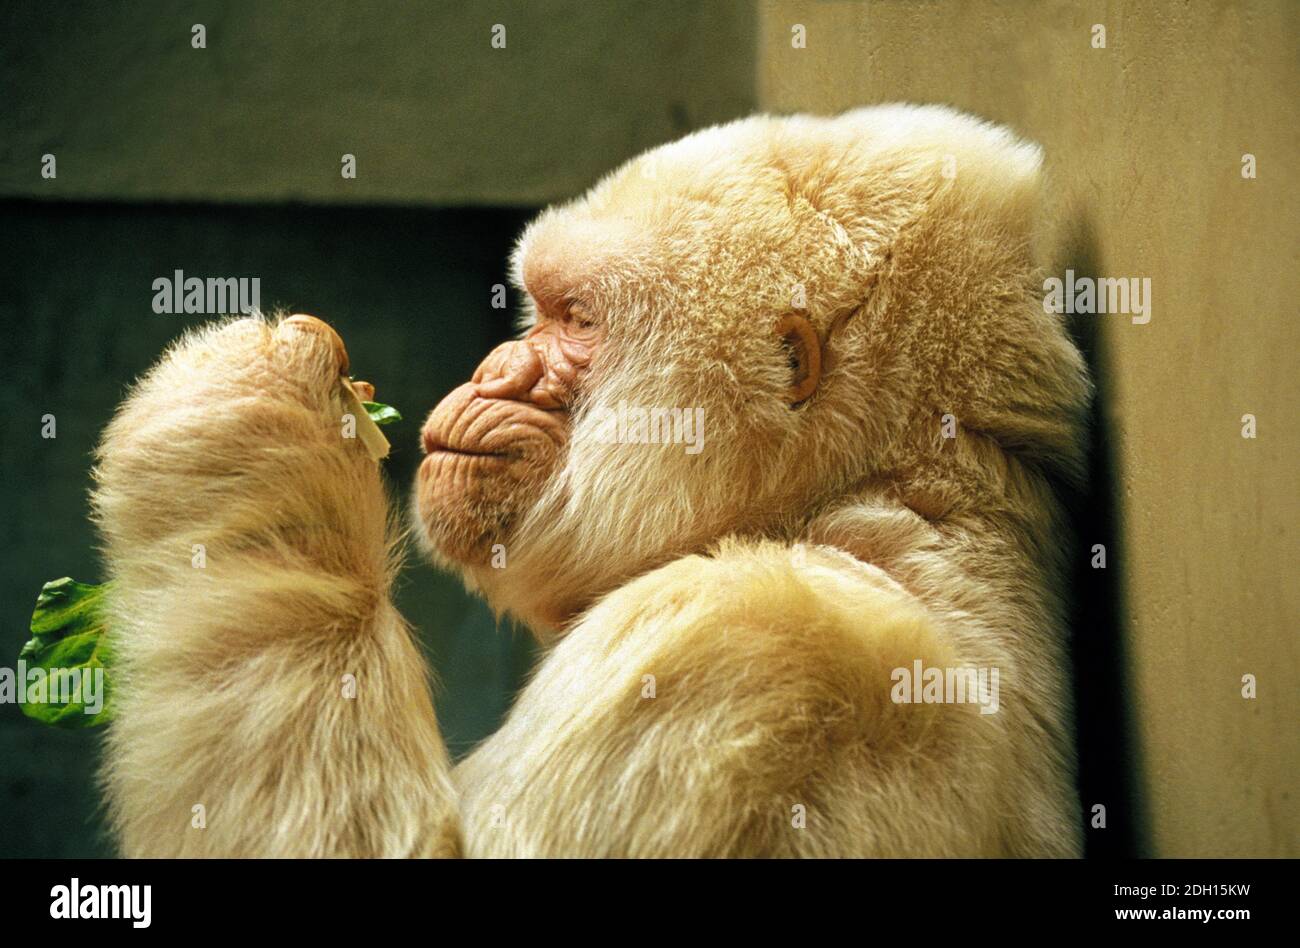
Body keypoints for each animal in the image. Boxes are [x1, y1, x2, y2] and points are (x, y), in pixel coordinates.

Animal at [93, 104, 1090, 857]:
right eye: (539, 308)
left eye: (576, 318)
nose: (493, 370)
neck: (847, 499)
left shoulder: (745, 647)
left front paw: (251, 417)